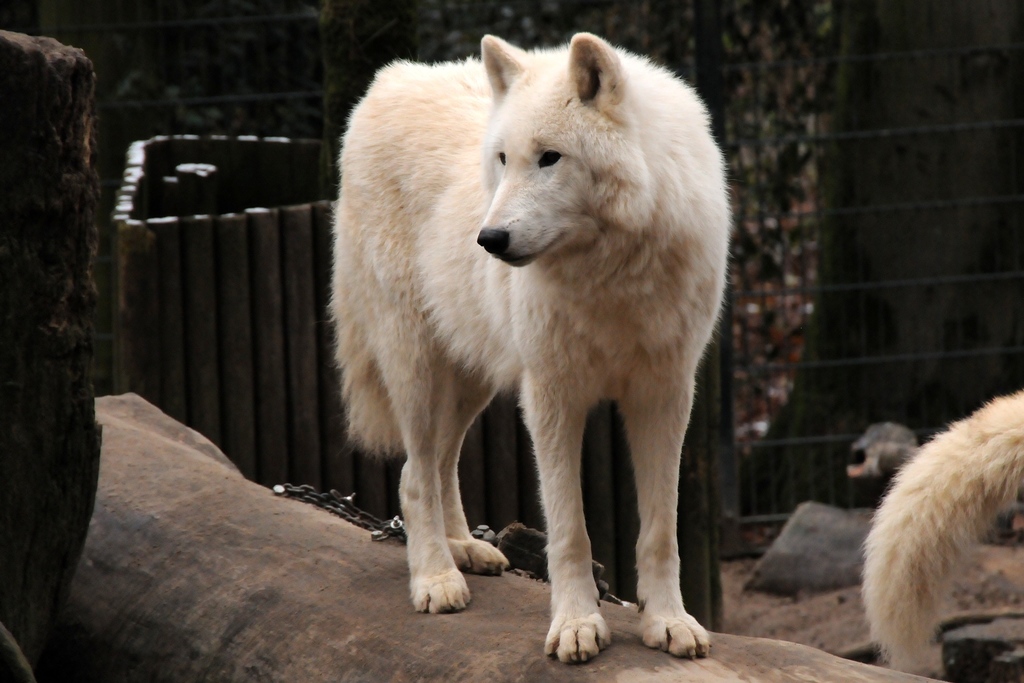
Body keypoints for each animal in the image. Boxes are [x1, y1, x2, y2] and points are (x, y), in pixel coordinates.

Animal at [329, 32, 730, 663]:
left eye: (550, 158)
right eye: (502, 159)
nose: (489, 240)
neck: (611, 274)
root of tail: (389, 80)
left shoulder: (664, 393)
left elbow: (660, 530)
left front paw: (668, 621)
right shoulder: (552, 395)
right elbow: (569, 531)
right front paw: (576, 623)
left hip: (472, 377)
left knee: (438, 462)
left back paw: (464, 547)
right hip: (416, 367)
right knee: (414, 478)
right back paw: (437, 578)